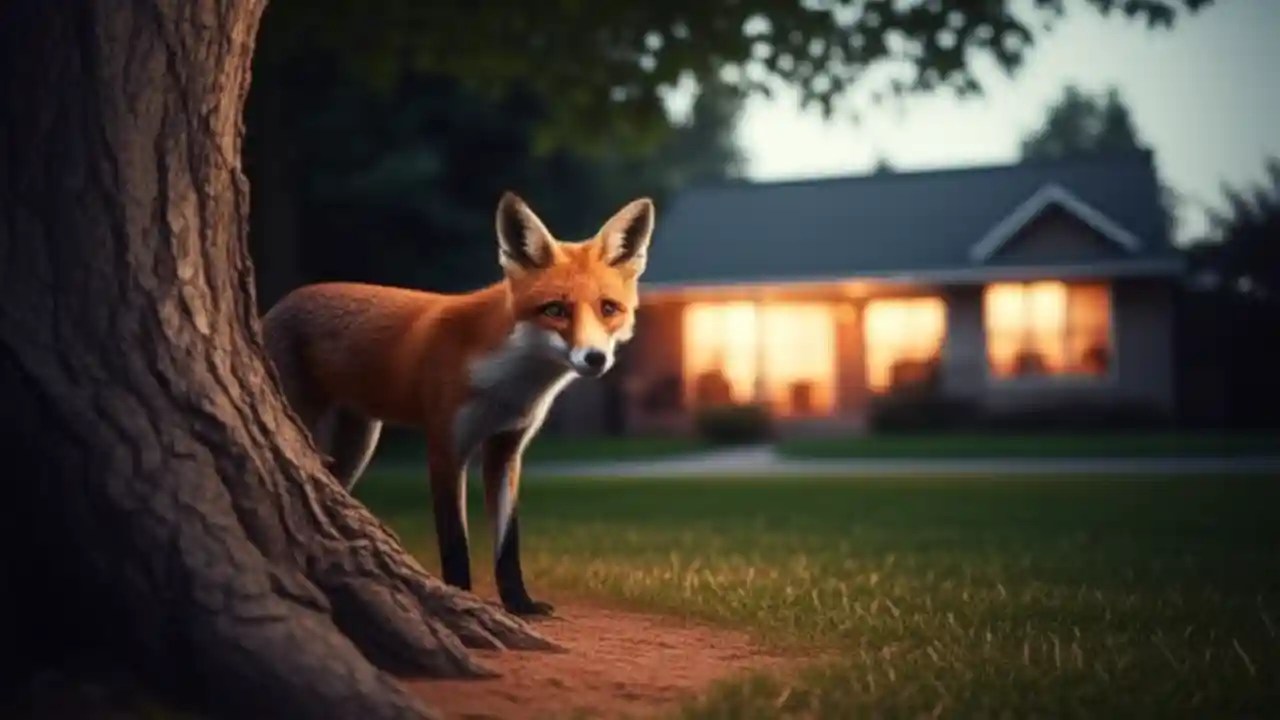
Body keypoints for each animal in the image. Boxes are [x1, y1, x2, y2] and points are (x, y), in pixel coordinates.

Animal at [261, 192, 655, 615]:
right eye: (555, 310)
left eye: (608, 308)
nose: (595, 358)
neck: (508, 383)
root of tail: (279, 303)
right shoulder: (446, 447)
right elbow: (454, 542)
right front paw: (462, 599)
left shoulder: (505, 450)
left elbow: (508, 544)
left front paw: (520, 603)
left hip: (357, 446)